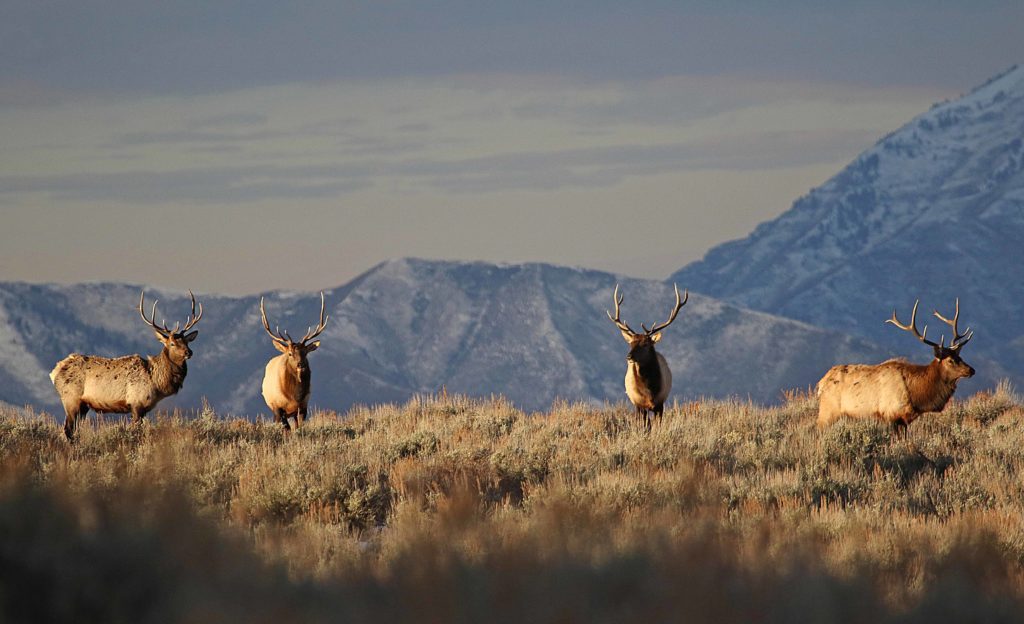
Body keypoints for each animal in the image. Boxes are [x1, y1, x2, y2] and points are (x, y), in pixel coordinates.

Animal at [49, 290, 203, 441]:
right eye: (172, 343)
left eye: (186, 342)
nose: (189, 352)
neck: (157, 383)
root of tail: (55, 370)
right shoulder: (136, 403)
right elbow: (135, 432)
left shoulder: (145, 408)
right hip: (71, 399)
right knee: (68, 430)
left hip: (83, 405)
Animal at [259, 292, 329, 430]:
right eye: (290, 354)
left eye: (305, 353)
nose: (300, 364)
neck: (294, 397)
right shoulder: (278, 407)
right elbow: (286, 428)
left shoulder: (303, 406)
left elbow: (299, 427)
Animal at [606, 283, 688, 431]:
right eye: (631, 343)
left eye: (645, 344)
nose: (629, 356)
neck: (650, 392)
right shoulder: (639, 403)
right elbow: (645, 424)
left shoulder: (660, 403)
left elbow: (658, 425)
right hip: (637, 405)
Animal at [817, 298, 975, 435]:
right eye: (950, 360)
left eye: (960, 357)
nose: (971, 370)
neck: (917, 396)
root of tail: (821, 383)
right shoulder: (891, 416)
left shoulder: (904, 421)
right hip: (828, 412)